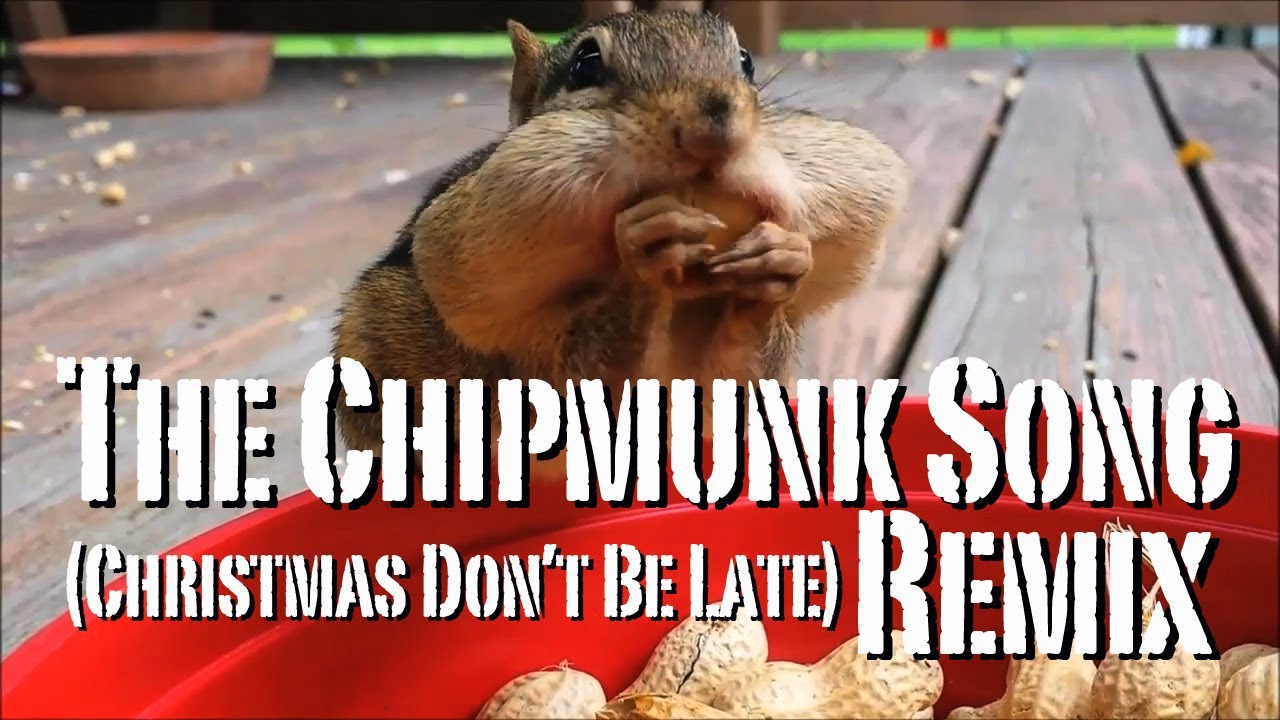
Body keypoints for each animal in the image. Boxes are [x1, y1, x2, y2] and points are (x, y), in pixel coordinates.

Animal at [331, 10, 909, 471]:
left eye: (745, 61)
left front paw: (780, 260)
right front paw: (641, 250)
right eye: (584, 66)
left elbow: (736, 372)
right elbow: (593, 373)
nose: (712, 127)